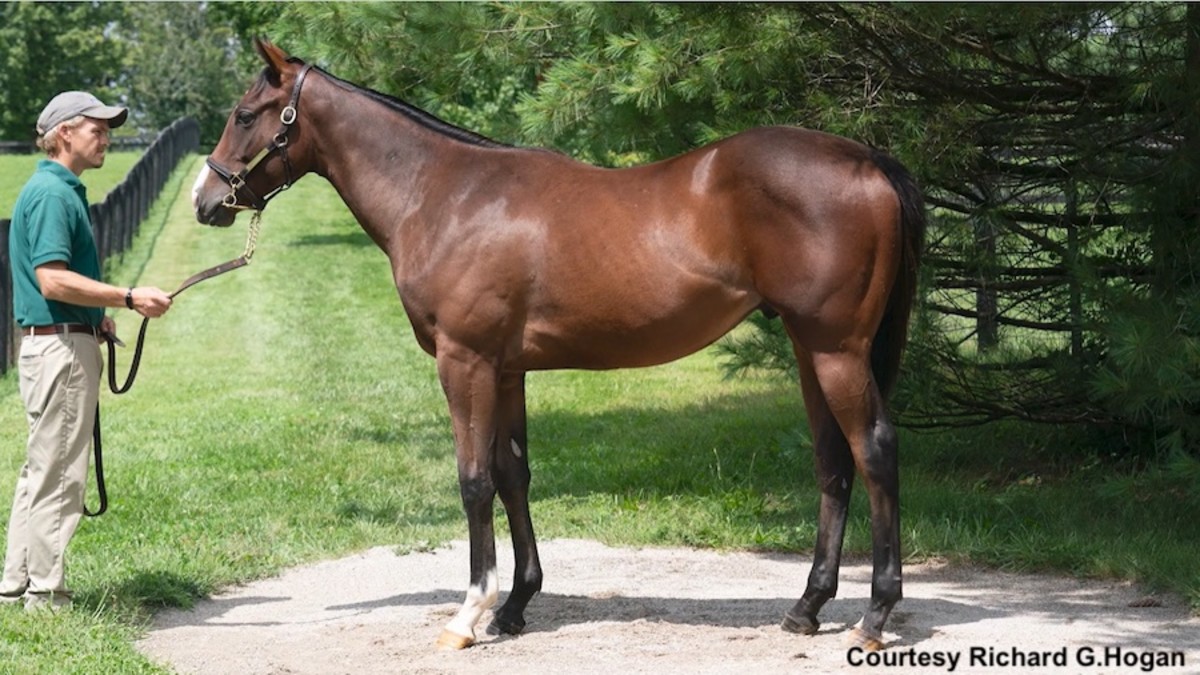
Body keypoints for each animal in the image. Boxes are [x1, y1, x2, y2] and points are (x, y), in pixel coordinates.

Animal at [192, 39, 925, 652]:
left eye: (246, 113)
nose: (204, 200)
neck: (446, 194)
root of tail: (867, 159)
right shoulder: (506, 369)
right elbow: (514, 475)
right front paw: (516, 606)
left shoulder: (465, 362)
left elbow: (474, 481)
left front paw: (469, 615)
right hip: (810, 349)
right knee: (833, 462)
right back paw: (806, 607)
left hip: (836, 350)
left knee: (875, 451)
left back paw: (873, 616)